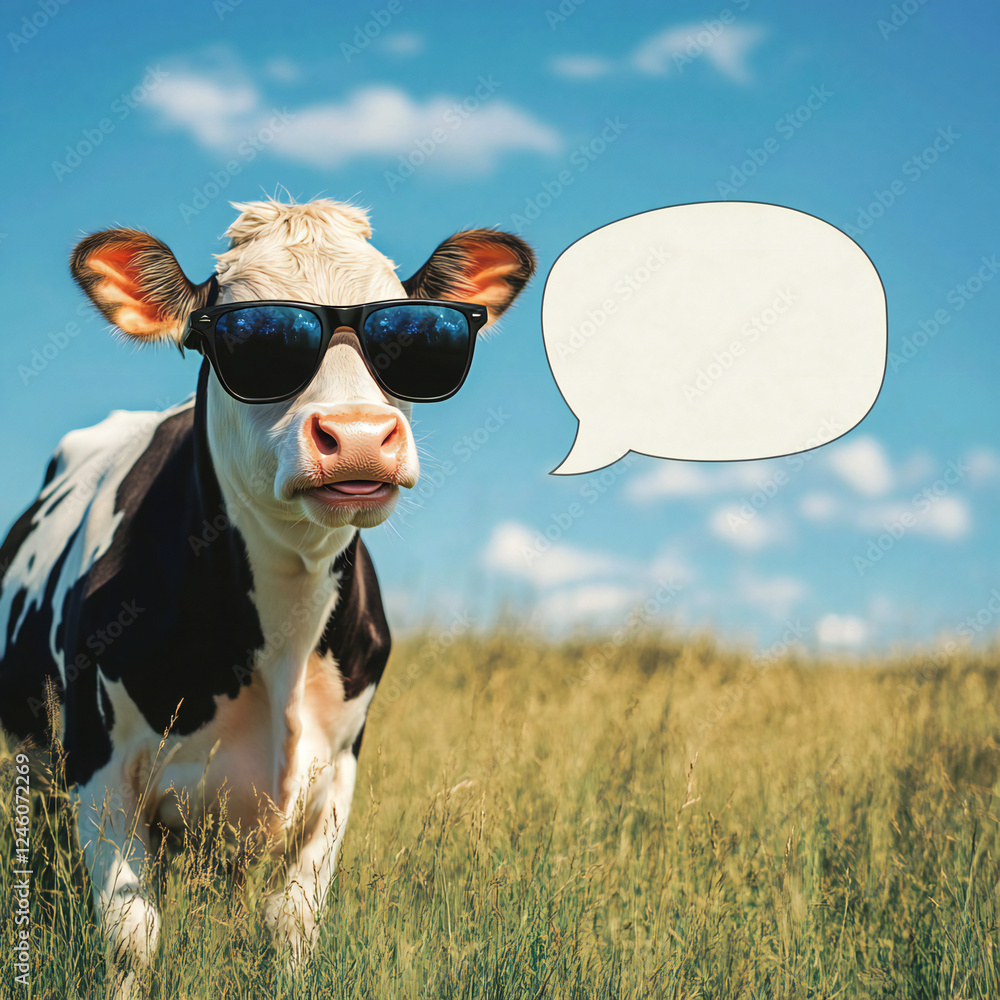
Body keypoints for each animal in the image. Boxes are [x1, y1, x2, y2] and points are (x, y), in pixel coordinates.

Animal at [0, 198, 534, 992]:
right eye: (250, 336)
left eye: (410, 332)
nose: (358, 435)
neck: (283, 627)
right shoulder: (99, 767)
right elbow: (131, 937)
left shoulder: (337, 769)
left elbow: (292, 924)